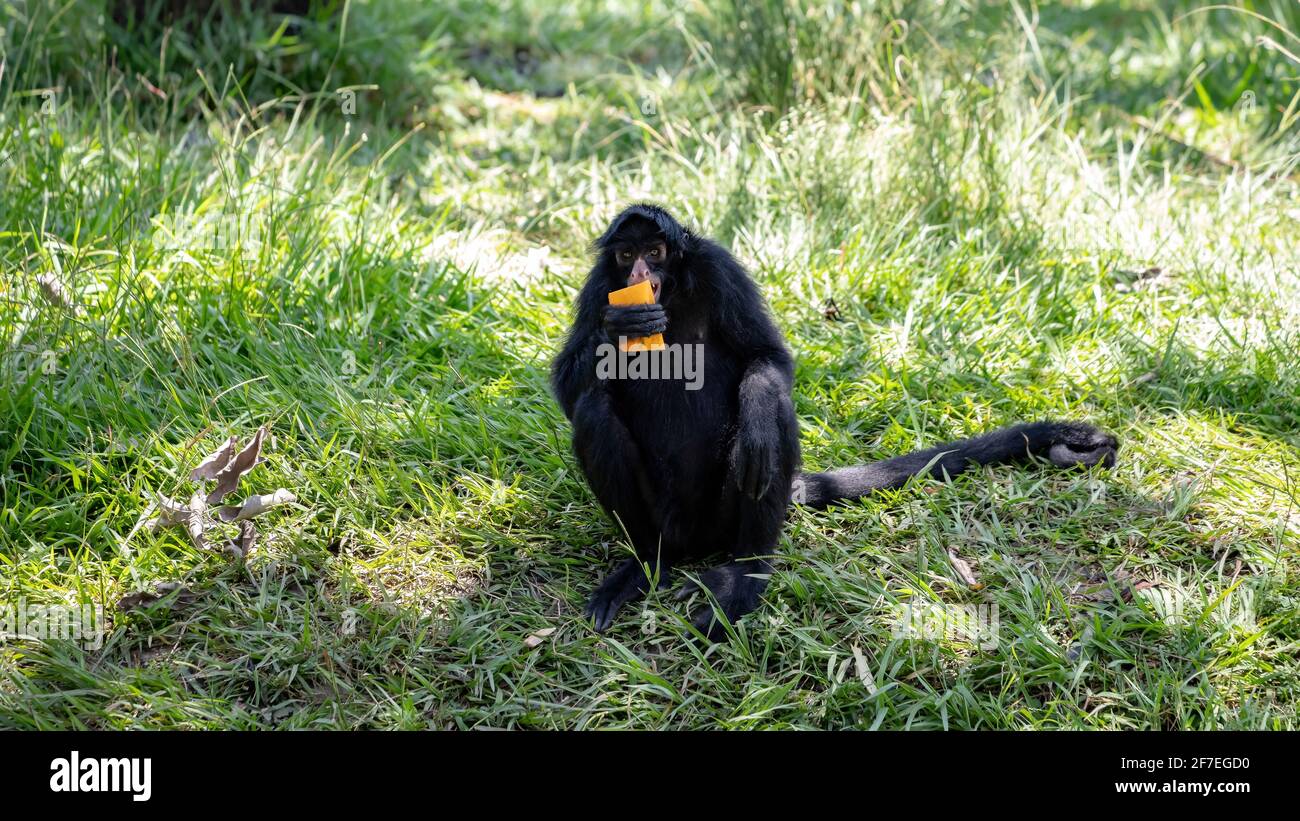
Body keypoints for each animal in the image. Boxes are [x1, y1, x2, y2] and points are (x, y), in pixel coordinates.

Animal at [551, 204, 1118, 641]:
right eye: (626, 256)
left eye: (655, 253)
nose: (637, 277)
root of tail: (692, 538)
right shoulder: (600, 285)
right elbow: (568, 389)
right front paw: (619, 326)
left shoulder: (717, 266)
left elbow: (769, 363)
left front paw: (758, 404)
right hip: (667, 518)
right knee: (595, 411)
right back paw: (648, 562)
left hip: (726, 512)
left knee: (769, 421)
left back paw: (744, 575)